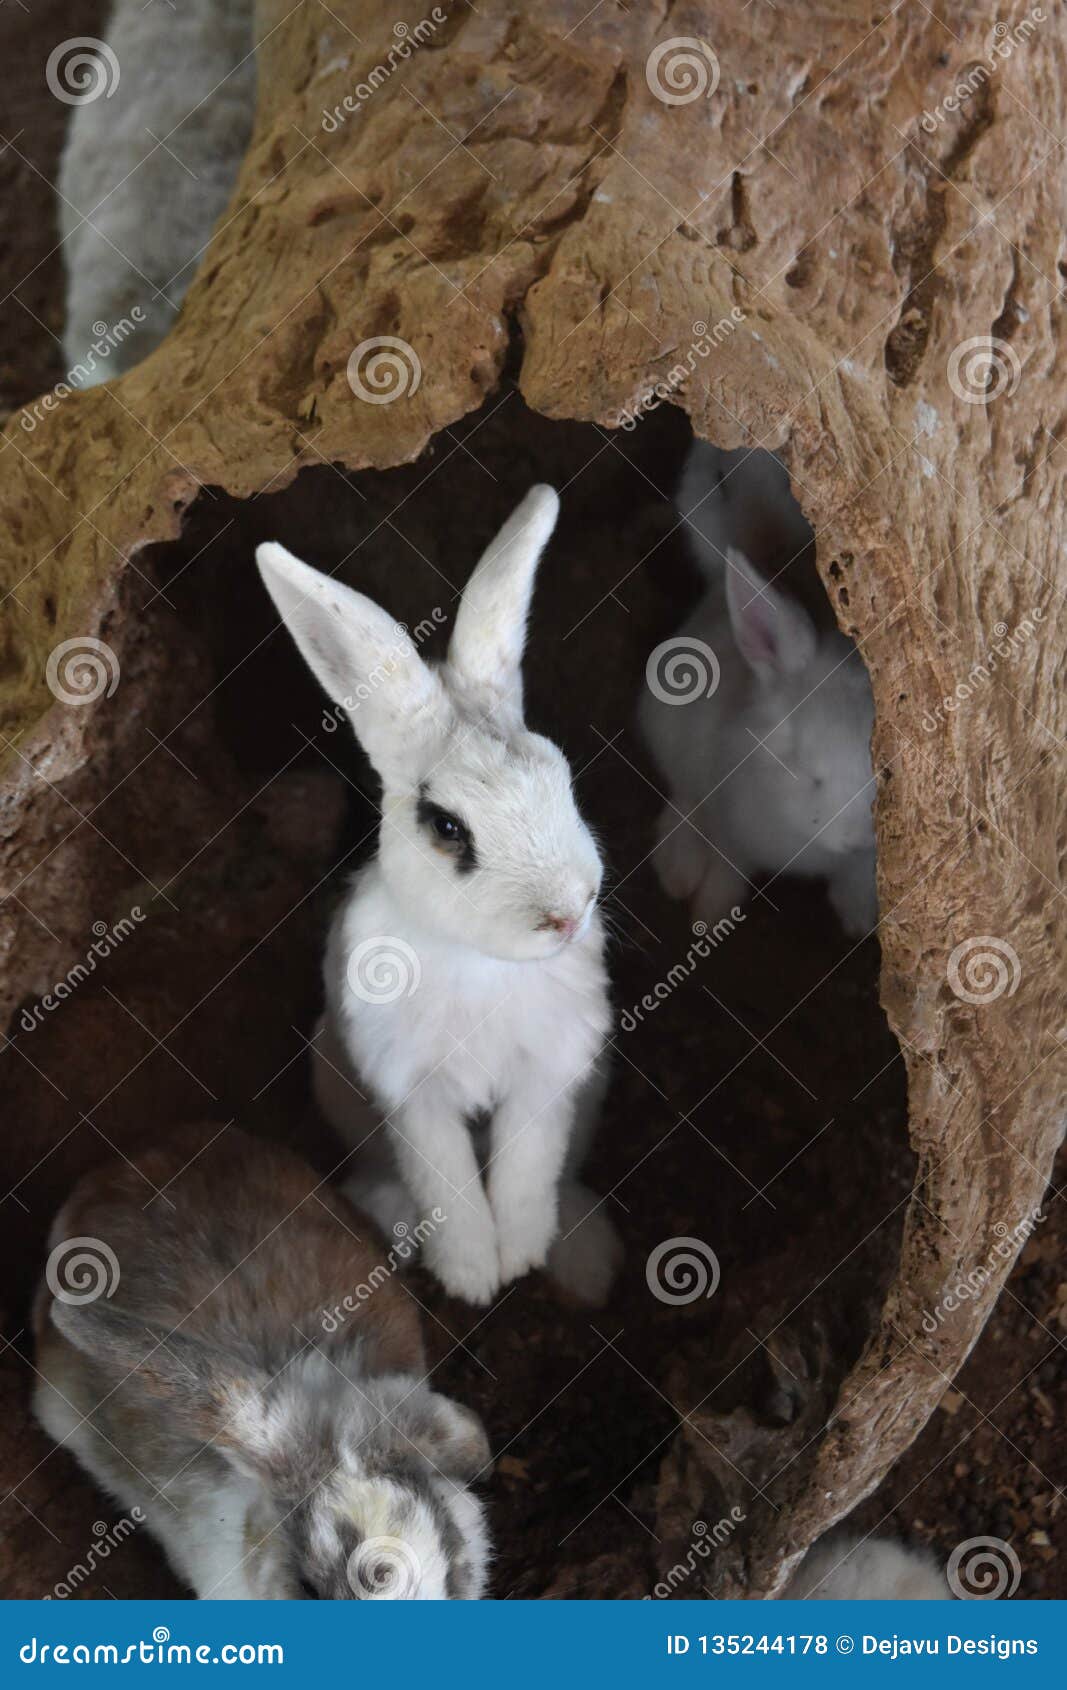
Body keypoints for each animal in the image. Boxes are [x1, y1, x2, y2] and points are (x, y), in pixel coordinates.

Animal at [256, 486, 620, 1310]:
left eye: (559, 772)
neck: (479, 962)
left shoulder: (549, 1076)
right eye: (446, 827)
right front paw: (473, 1275)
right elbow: (446, 1180)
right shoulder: (410, 1089)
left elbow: (525, 1169)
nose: (567, 912)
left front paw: (521, 1253)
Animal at [639, 441, 878, 939]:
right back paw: (677, 871)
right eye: (802, 764)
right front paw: (708, 916)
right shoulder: (734, 833)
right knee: (684, 800)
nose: (851, 837)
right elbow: (728, 870)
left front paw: (859, 917)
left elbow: (854, 876)